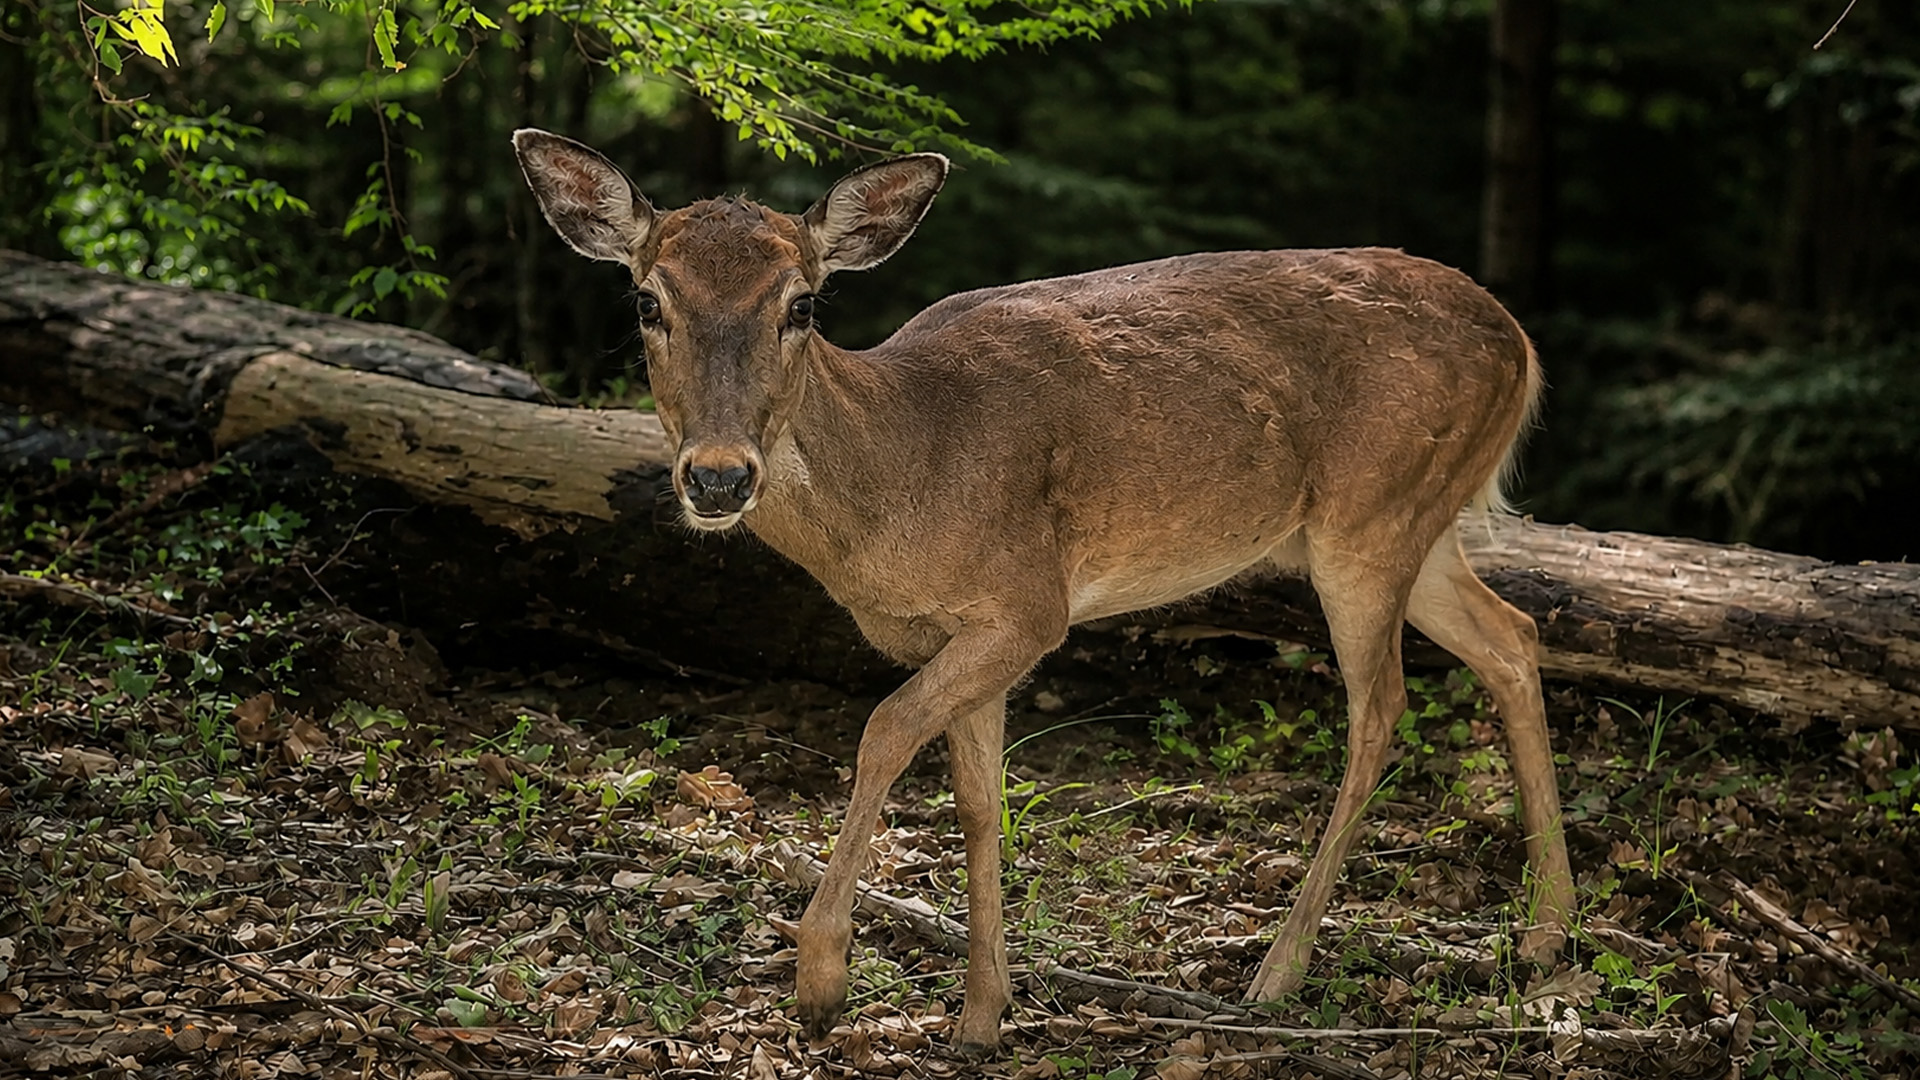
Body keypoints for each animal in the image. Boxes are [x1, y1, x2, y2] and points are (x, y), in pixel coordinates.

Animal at [512, 129, 1575, 1053]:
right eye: (646, 301)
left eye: (803, 305)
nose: (721, 477)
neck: (905, 483)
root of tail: (1522, 343)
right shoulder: (965, 633)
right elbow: (978, 798)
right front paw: (983, 1014)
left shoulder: (1029, 603)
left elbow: (882, 732)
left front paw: (821, 980)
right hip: (1417, 526)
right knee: (1513, 636)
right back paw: (1547, 929)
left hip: (1369, 516)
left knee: (1382, 705)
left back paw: (1280, 969)